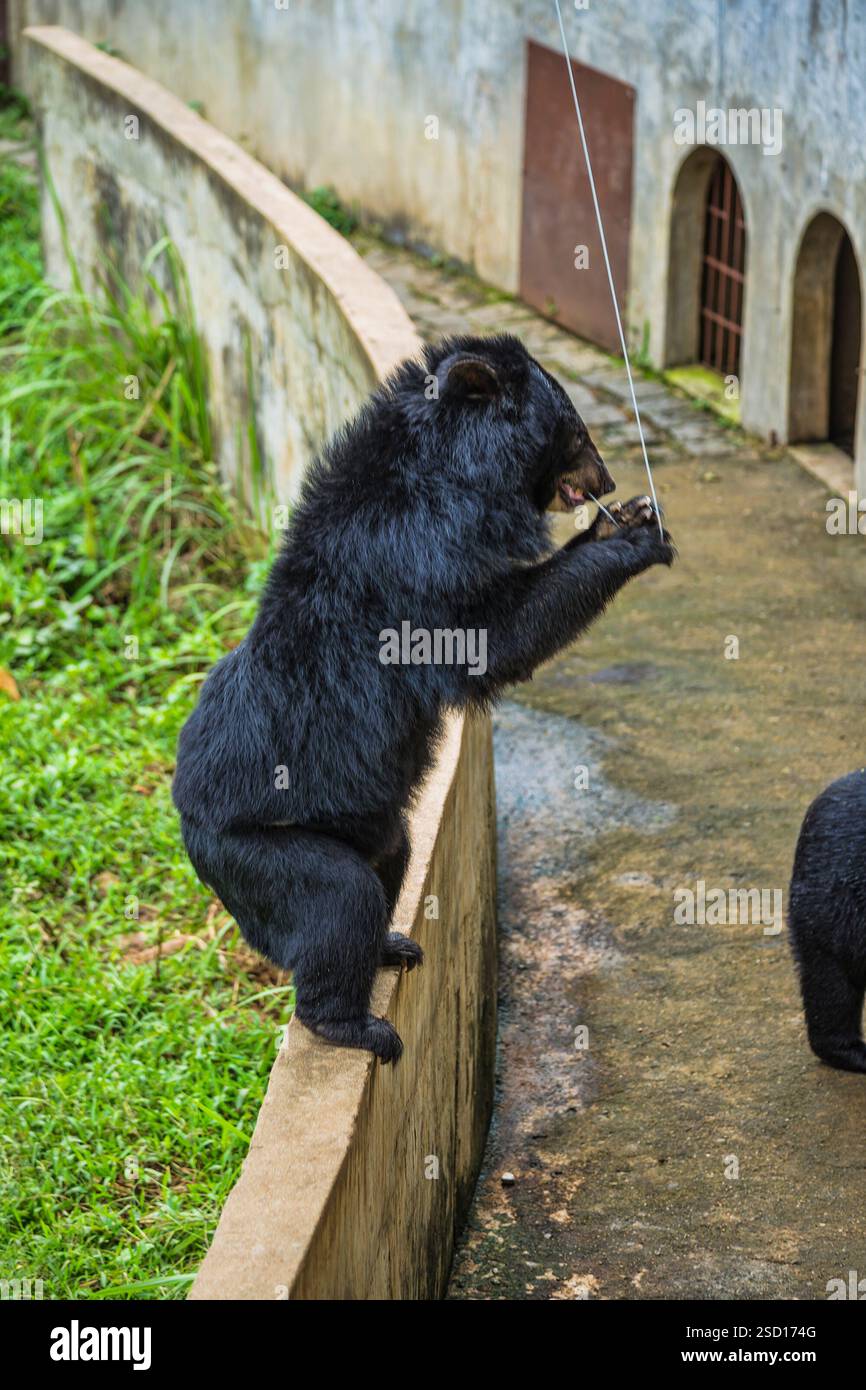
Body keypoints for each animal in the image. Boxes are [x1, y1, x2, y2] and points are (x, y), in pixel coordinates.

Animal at [172, 334, 675, 1062]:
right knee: (339, 899)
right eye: (578, 432)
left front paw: (628, 517)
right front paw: (634, 536)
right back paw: (357, 1027)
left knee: (393, 858)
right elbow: (496, 635)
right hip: (258, 847)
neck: (450, 473)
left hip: (358, 822)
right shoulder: (420, 554)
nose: (606, 482)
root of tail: (186, 814)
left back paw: (393, 946)